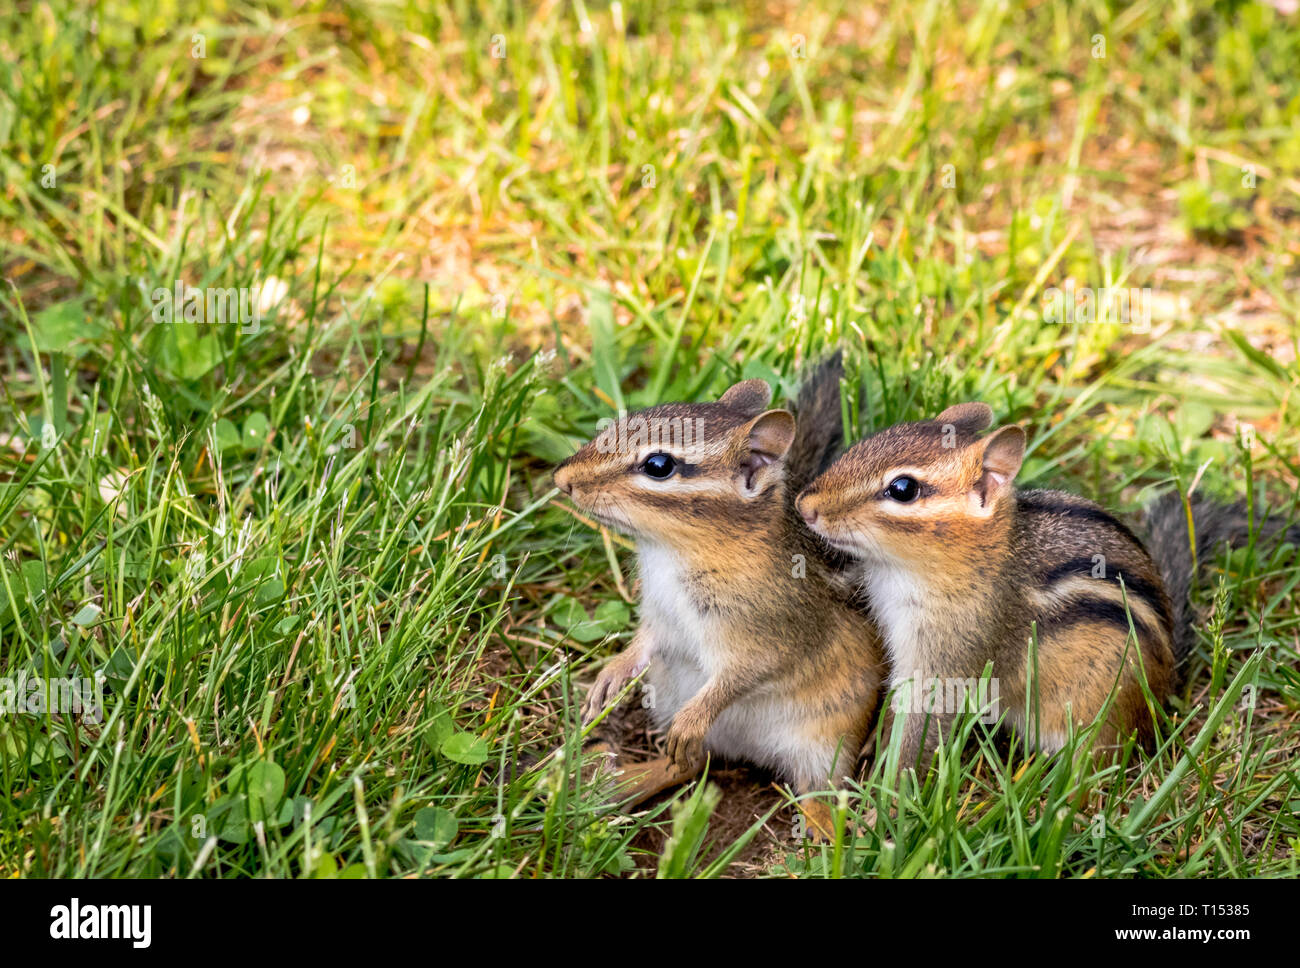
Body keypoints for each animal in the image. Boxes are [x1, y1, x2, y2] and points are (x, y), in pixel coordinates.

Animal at [552, 354, 884, 837]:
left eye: (658, 465)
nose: (562, 478)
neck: (673, 552)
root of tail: (750, 750)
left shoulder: (768, 635)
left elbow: (739, 677)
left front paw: (694, 716)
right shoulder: (659, 615)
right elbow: (644, 642)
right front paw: (610, 674)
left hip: (824, 742)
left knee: (816, 790)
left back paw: (827, 829)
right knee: (687, 766)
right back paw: (618, 783)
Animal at [794, 401, 1293, 771]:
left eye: (902, 489)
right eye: (866, 443)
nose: (804, 505)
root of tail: (1171, 672)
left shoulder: (953, 653)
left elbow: (922, 727)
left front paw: (883, 809)